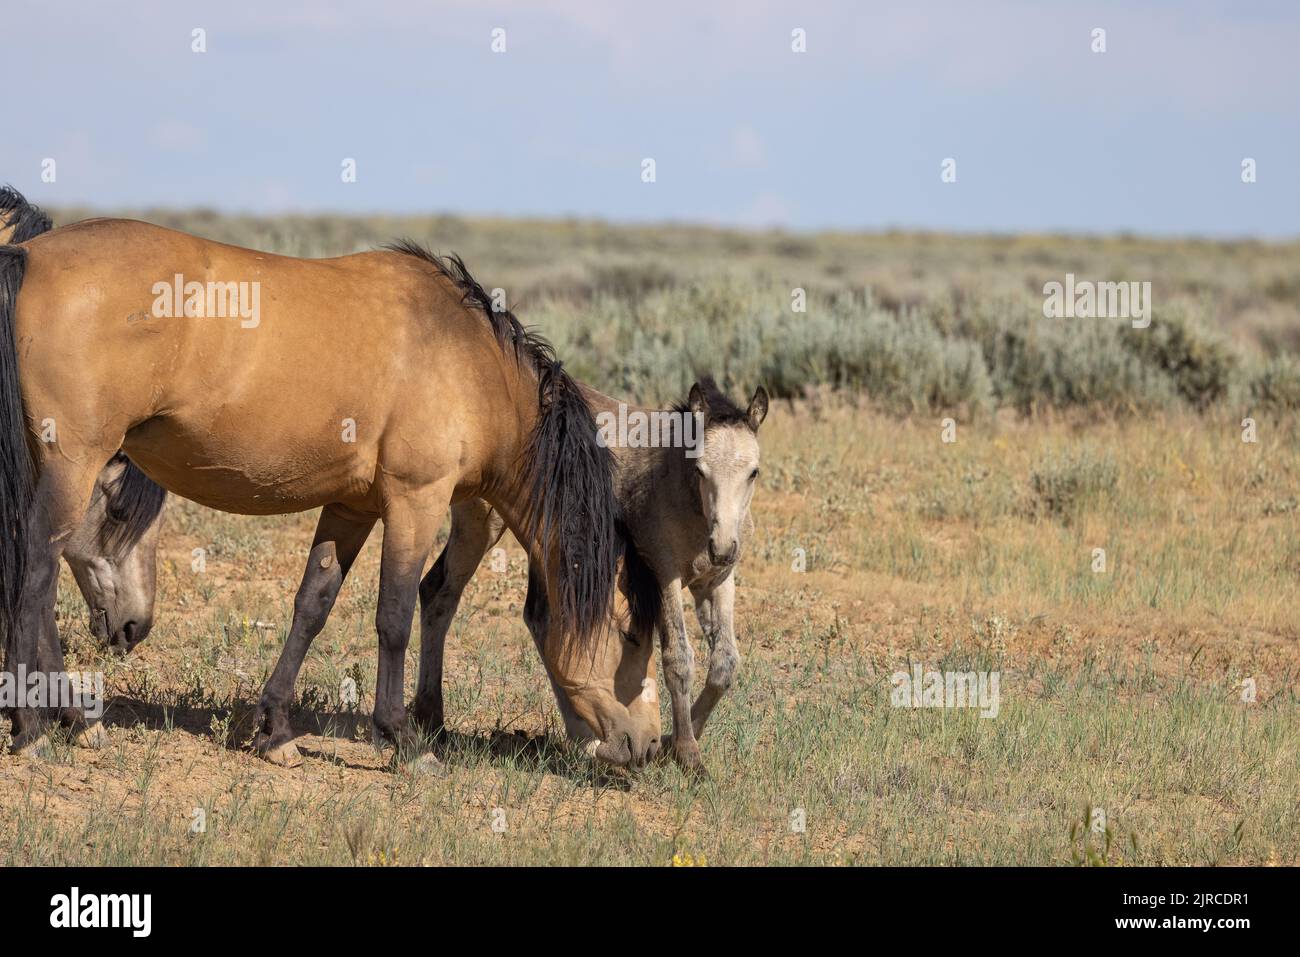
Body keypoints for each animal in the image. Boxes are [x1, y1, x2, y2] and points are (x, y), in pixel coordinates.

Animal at [0, 218, 659, 768]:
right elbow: (394, 615)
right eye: (630, 634)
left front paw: (274, 730)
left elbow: (312, 605)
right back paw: (34, 729)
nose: (647, 746)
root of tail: (30, 254)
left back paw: (71, 719)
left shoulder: (351, 506)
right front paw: (402, 737)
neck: (468, 359)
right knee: (34, 577)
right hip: (74, 467)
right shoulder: (416, 503)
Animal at [413, 378, 767, 776]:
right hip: (486, 523)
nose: (722, 547)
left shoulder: (717, 582)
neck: (676, 486)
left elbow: (724, 664)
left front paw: (672, 743)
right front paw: (686, 753)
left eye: (753, 472)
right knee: (444, 593)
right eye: (701, 470)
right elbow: (678, 660)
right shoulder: (664, 575)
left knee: (524, 613)